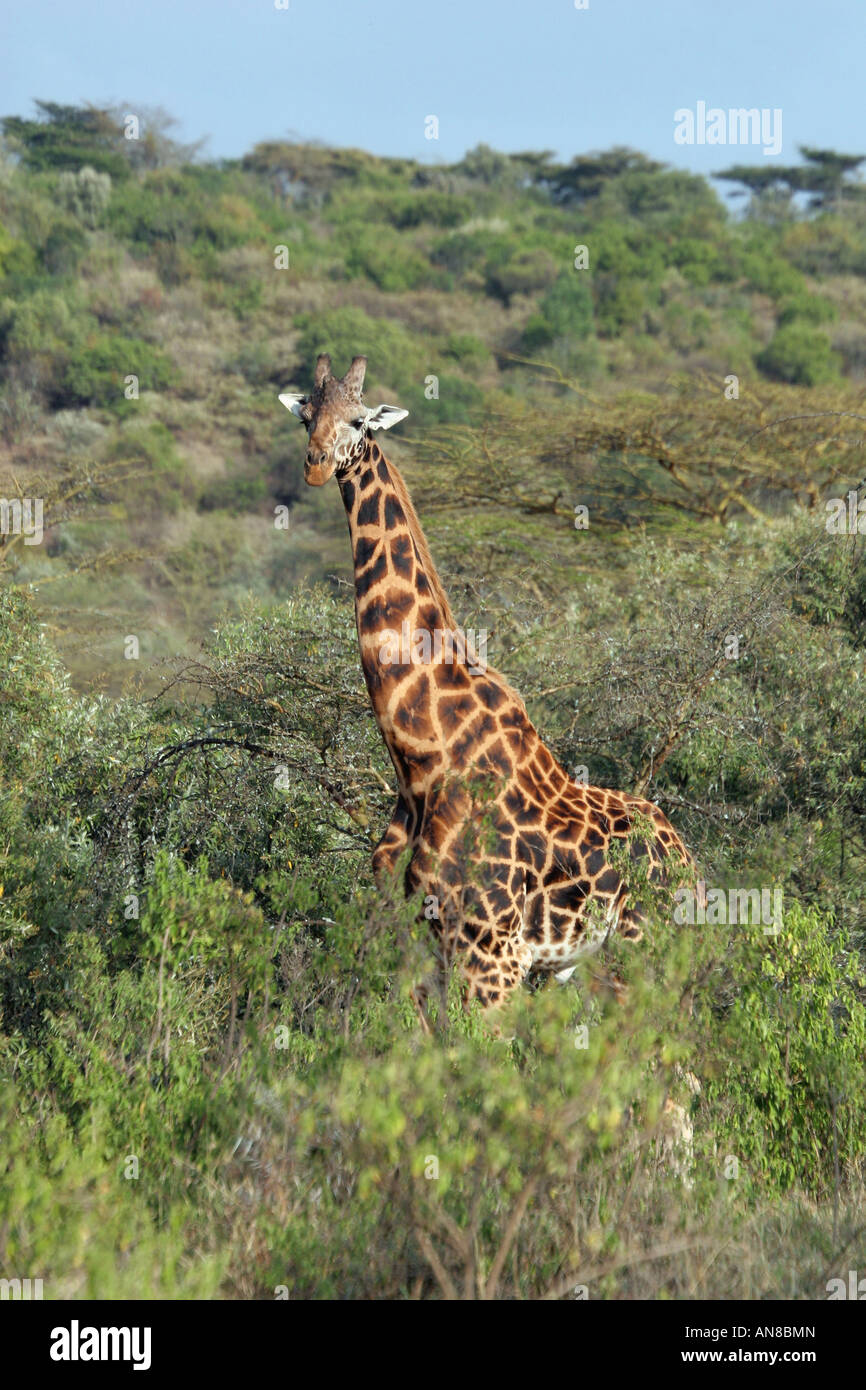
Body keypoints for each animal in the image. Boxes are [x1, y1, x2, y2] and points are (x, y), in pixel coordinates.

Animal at [279, 354, 701, 1023]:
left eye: (358, 420)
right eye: (306, 416)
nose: (317, 464)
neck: (420, 760)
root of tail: (690, 865)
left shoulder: (491, 956)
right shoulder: (419, 945)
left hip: (640, 953)